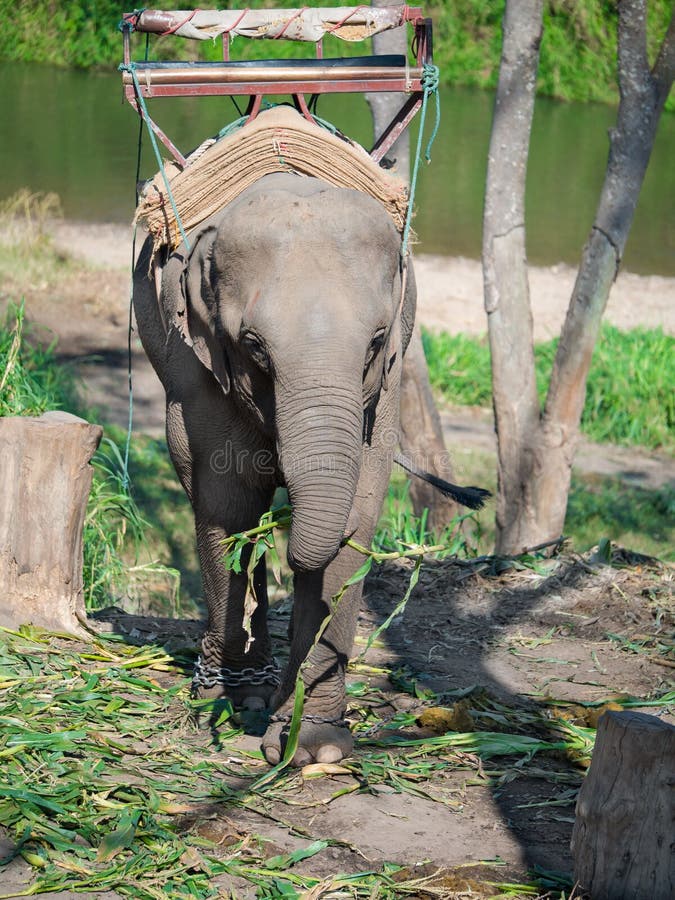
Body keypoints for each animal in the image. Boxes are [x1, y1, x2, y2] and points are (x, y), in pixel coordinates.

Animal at [133, 172, 416, 766]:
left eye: (376, 341)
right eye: (254, 347)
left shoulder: (388, 383)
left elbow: (358, 515)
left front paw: (311, 748)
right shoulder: (199, 364)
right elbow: (230, 505)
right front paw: (233, 700)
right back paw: (239, 688)